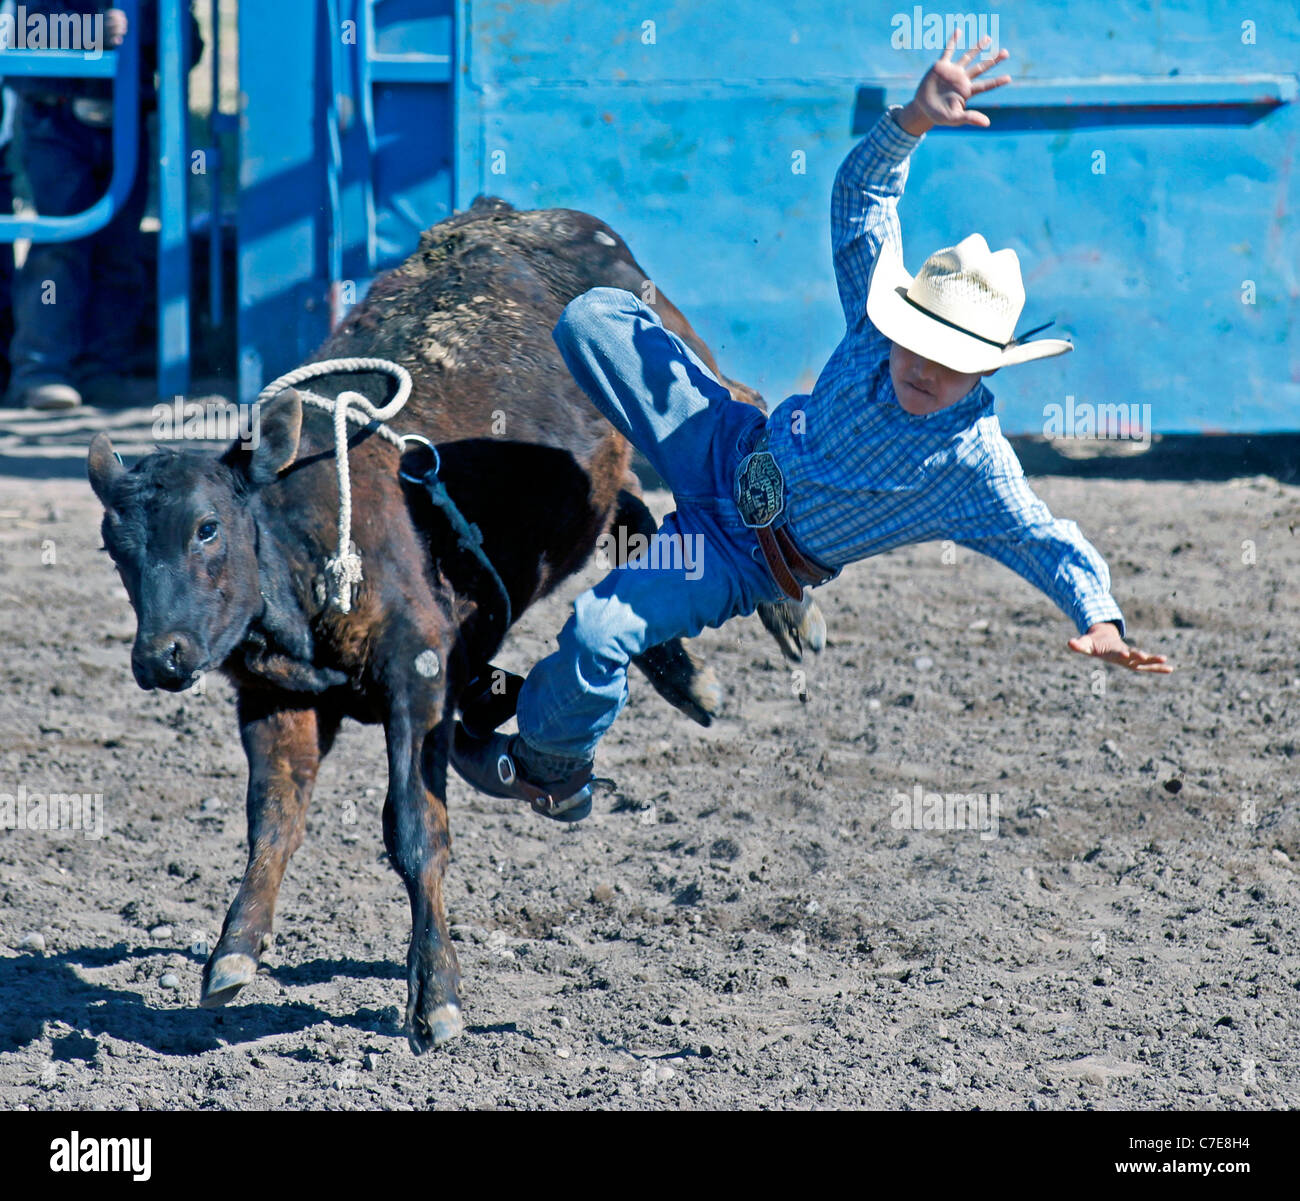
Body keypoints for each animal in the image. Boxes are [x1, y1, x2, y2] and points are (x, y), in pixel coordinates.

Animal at [87, 197, 826, 1052]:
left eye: (207, 527)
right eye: (115, 546)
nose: (161, 656)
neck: (306, 538)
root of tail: (515, 214)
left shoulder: (419, 676)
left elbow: (415, 829)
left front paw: (435, 994)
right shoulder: (277, 700)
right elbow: (274, 819)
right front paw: (234, 950)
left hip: (664, 338)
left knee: (738, 405)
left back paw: (789, 611)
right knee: (632, 514)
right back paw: (685, 677)